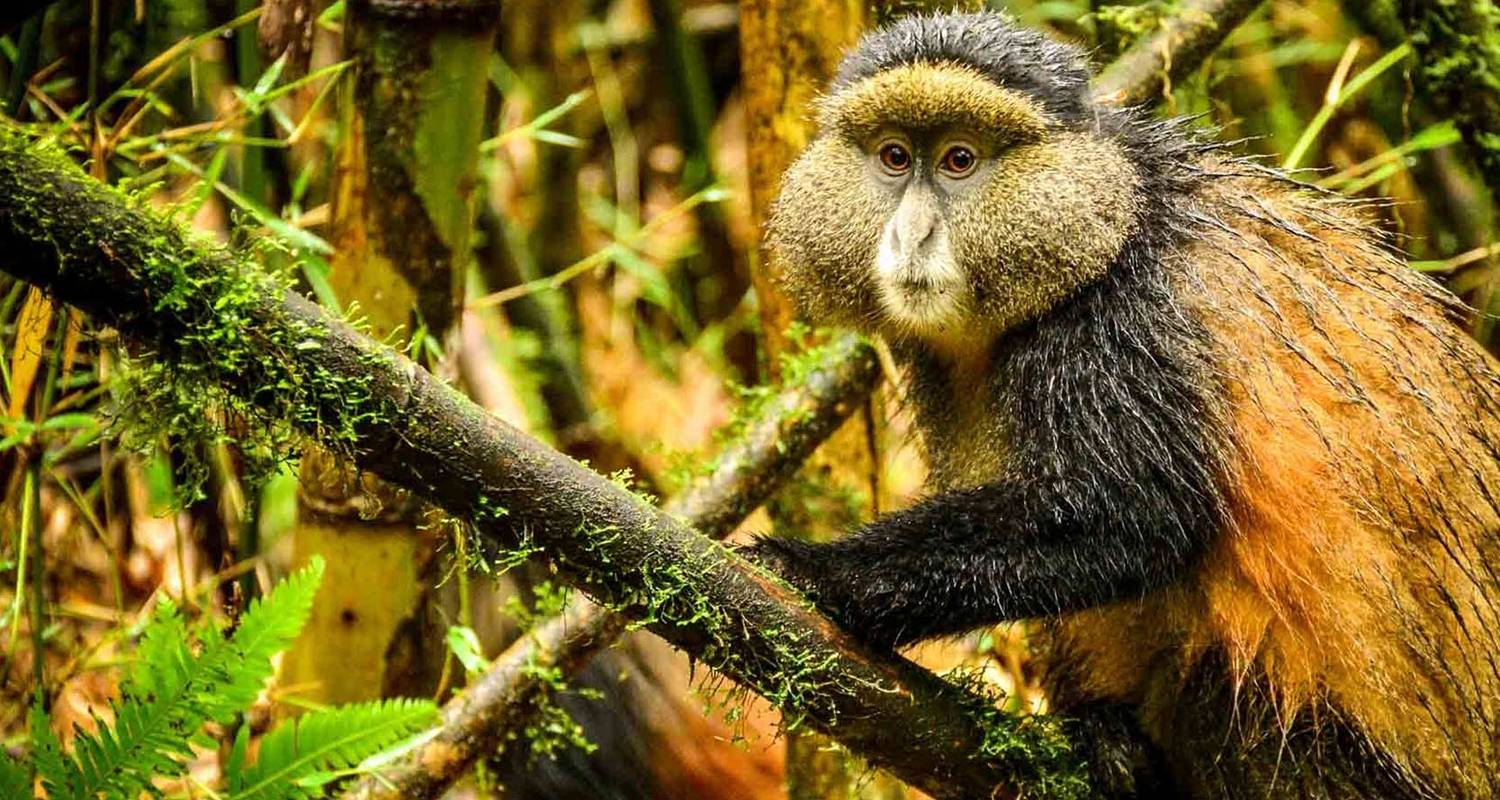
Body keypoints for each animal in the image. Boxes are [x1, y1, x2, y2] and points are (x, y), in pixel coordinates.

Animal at [748, 12, 1500, 799]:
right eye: (894, 157)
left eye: (959, 160)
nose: (912, 234)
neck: (1115, 216)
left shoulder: (1120, 323)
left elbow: (1134, 515)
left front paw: (814, 572)